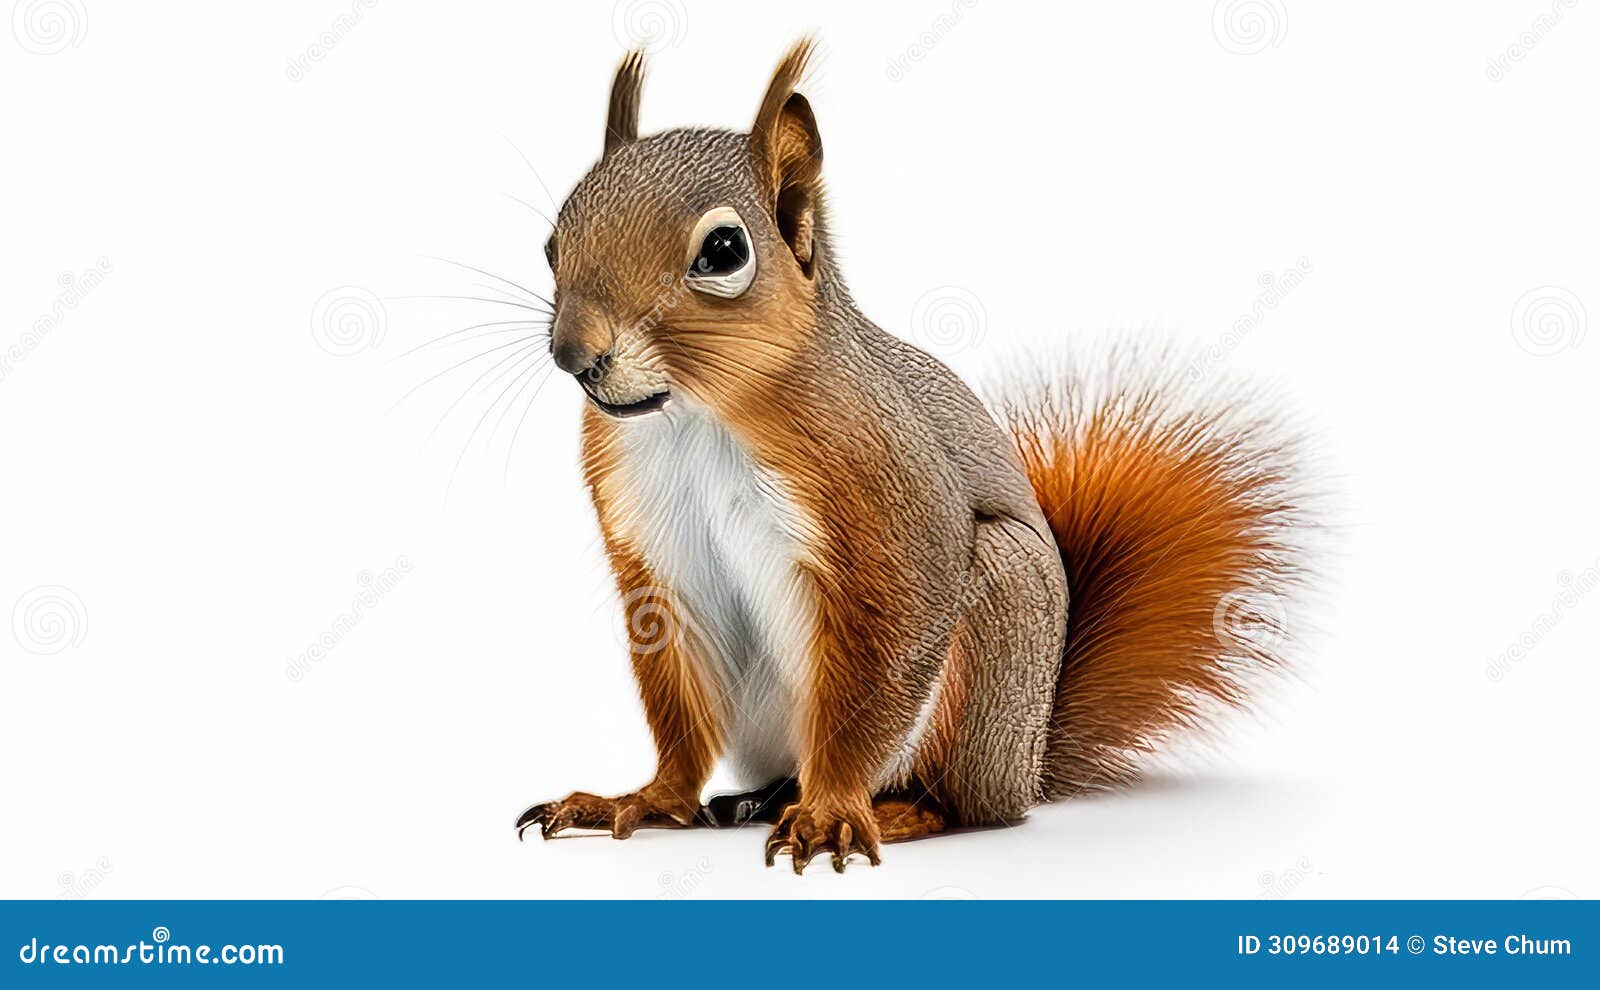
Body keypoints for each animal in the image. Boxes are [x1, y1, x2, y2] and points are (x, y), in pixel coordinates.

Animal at [515, 40, 1307, 874]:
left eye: (723, 251)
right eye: (553, 243)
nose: (575, 355)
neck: (698, 417)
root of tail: (1027, 762)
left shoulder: (892, 505)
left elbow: (880, 663)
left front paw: (831, 811)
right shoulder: (657, 554)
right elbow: (679, 692)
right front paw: (647, 799)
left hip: (998, 615)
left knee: (964, 804)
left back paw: (888, 810)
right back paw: (758, 798)